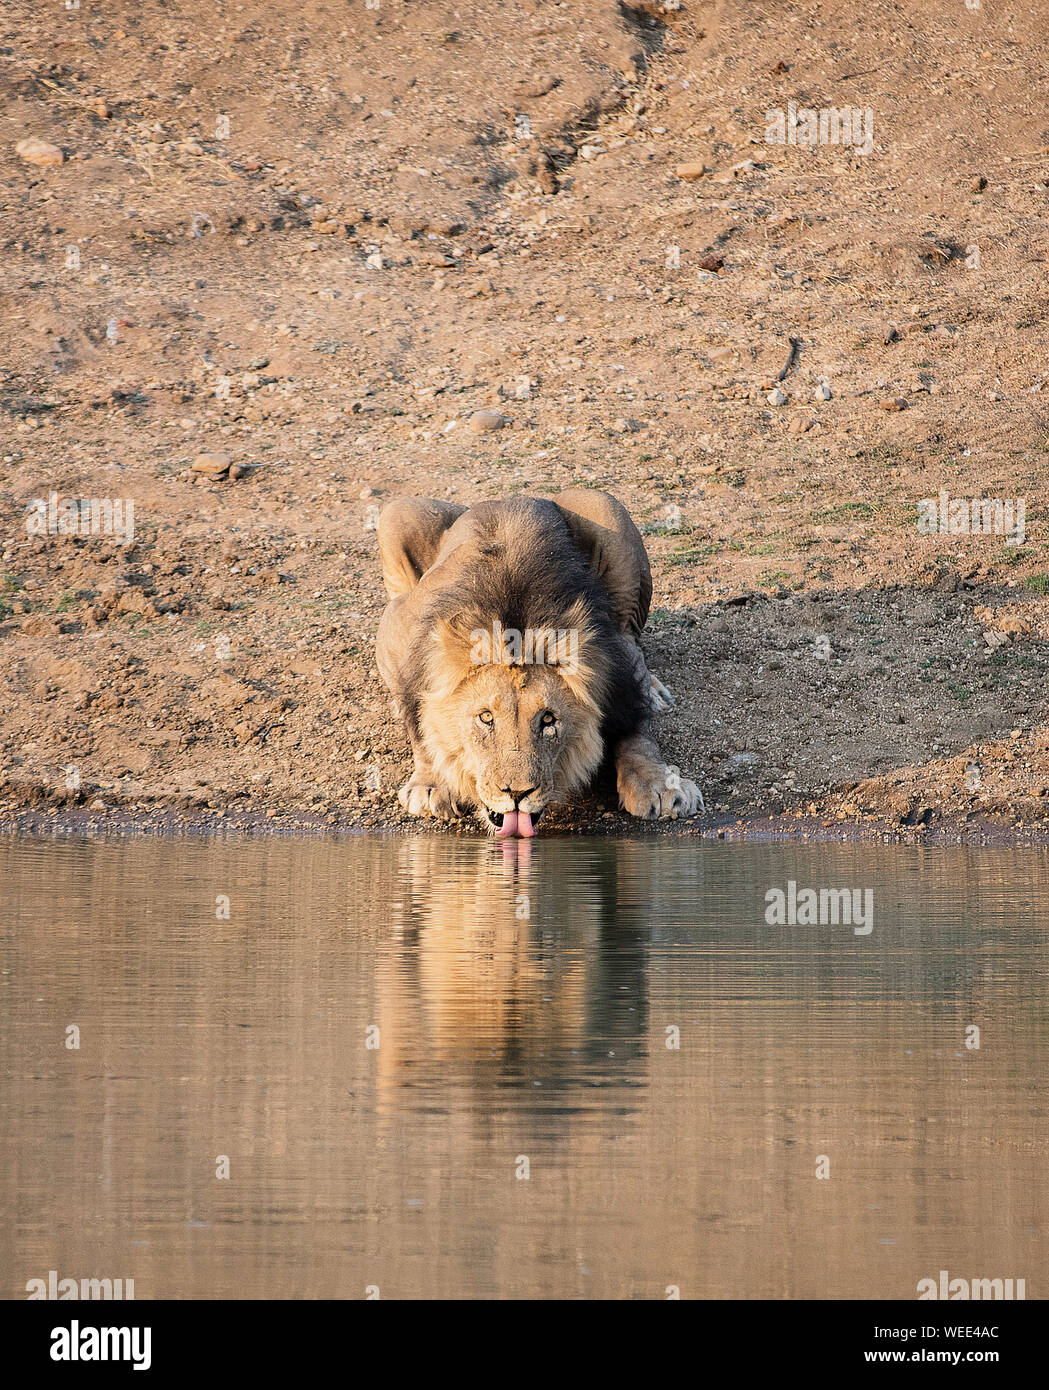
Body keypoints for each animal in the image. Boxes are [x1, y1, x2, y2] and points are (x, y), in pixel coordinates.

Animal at [375, 487, 702, 836]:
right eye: (485, 718)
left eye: (548, 719)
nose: (517, 794)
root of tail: (504, 498)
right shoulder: (397, 633)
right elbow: (418, 721)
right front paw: (431, 784)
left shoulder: (618, 654)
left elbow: (637, 731)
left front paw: (660, 785)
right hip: (398, 513)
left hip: (605, 511)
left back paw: (655, 691)